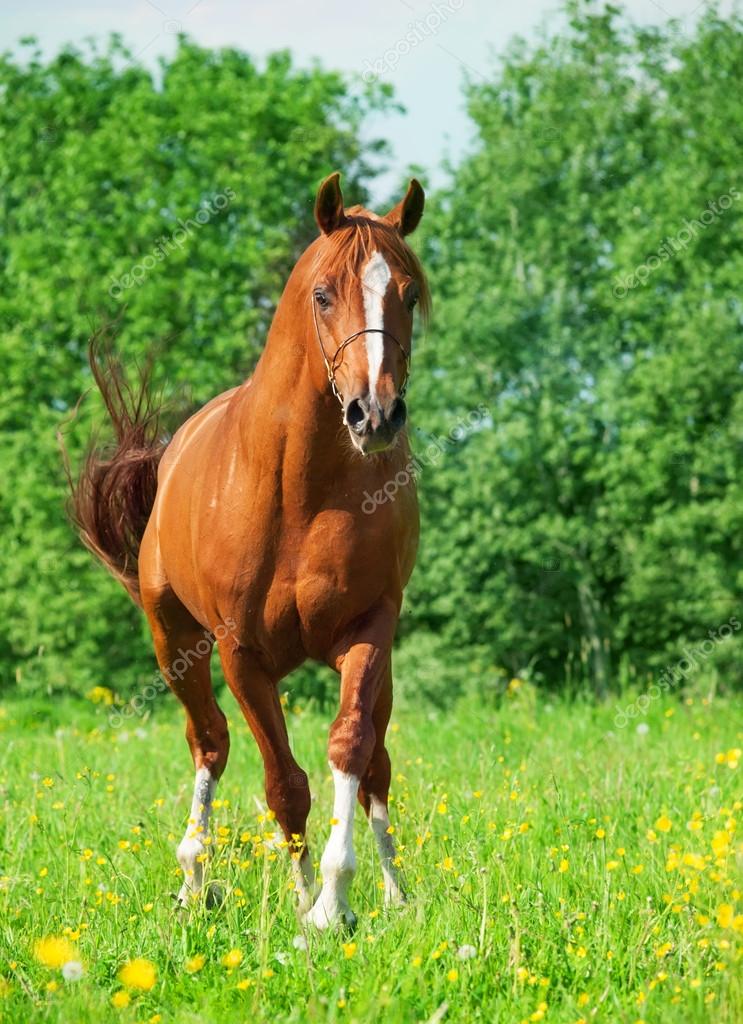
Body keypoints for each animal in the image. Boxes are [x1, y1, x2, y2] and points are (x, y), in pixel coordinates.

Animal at [70, 171, 430, 929]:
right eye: (323, 293)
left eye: (408, 292)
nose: (375, 415)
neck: (302, 488)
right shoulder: (240, 652)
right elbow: (283, 782)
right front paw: (306, 899)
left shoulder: (370, 631)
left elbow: (351, 748)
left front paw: (333, 898)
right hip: (175, 643)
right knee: (209, 742)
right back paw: (192, 878)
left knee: (376, 765)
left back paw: (393, 890)